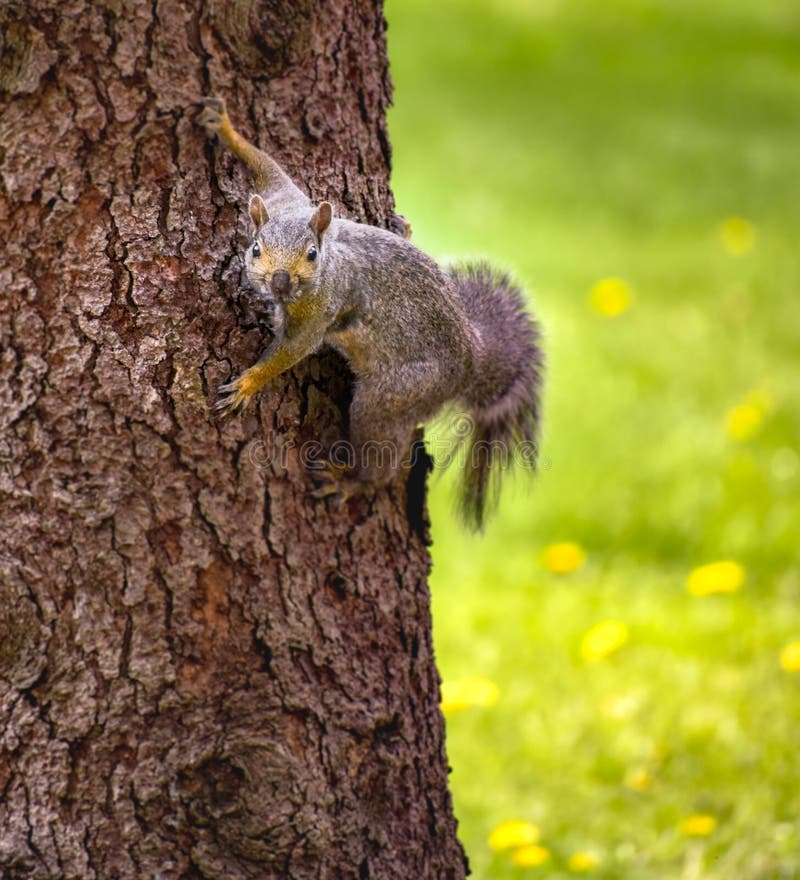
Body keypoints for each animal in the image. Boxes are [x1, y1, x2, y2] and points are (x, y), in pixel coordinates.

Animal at [199, 96, 543, 530]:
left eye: (311, 254)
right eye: (256, 248)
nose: (279, 281)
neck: (331, 258)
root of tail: (472, 361)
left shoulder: (321, 309)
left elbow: (295, 348)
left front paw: (249, 383)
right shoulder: (287, 201)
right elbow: (273, 172)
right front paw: (227, 129)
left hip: (395, 395)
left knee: (381, 453)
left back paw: (353, 482)